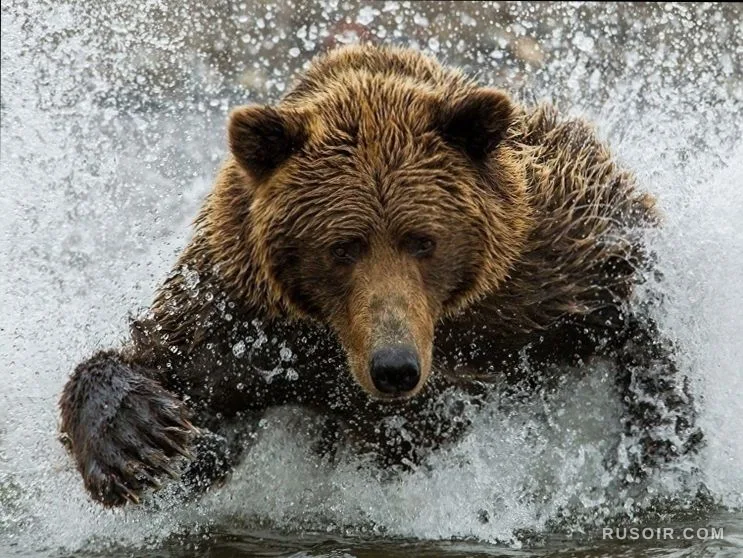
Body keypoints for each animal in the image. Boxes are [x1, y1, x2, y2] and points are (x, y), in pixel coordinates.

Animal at [59, 44, 702, 507]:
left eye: (424, 241)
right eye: (342, 247)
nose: (395, 367)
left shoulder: (552, 260)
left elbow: (635, 307)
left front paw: (660, 450)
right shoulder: (244, 319)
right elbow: (175, 375)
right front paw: (137, 440)